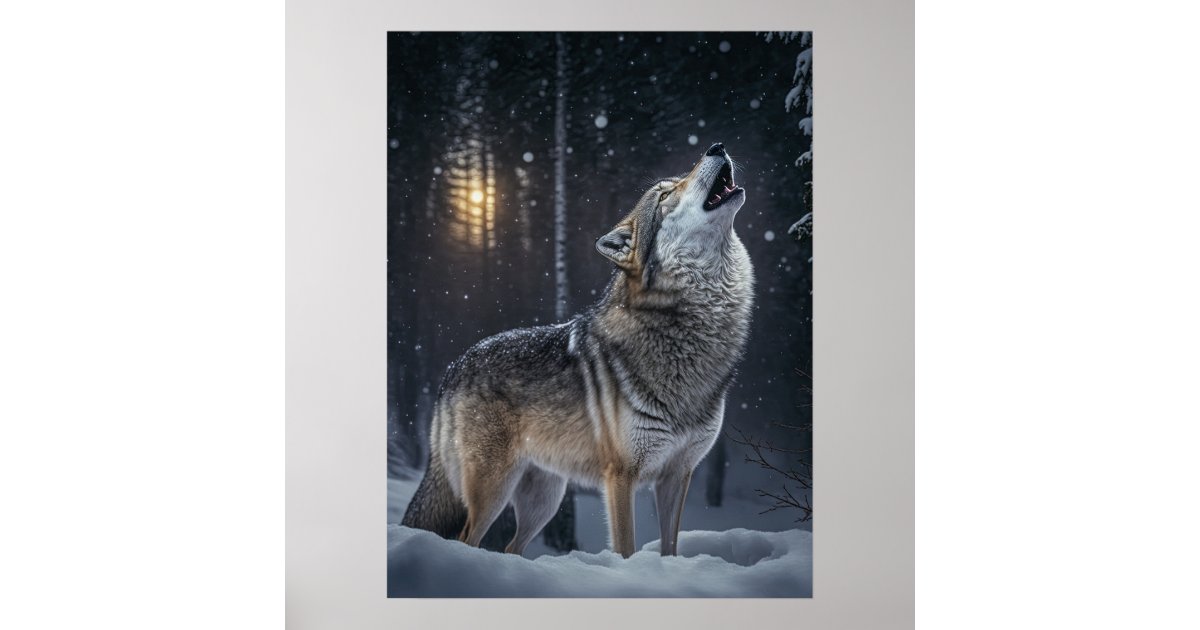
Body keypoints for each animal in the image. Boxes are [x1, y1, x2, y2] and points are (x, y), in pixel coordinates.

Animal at [402, 143, 754, 558]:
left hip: (545, 501)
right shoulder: (621, 476)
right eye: (666, 194)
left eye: (677, 181)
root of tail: (452, 367)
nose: (716, 147)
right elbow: (626, 548)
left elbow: (670, 548)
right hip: (494, 492)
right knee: (467, 540)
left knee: (510, 548)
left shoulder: (677, 475)